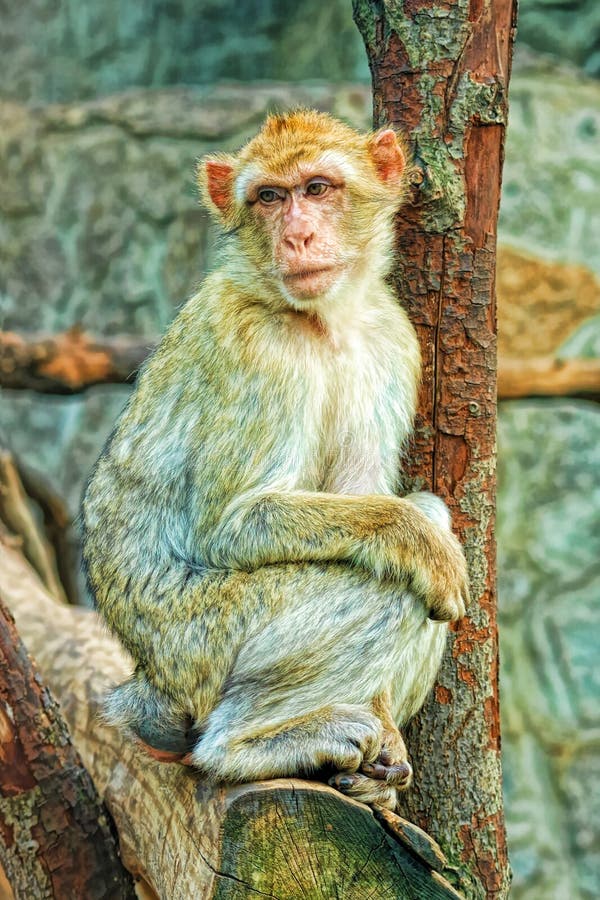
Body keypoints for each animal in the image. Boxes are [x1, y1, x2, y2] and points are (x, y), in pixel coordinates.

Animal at [82, 109, 469, 811]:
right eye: (268, 197)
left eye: (316, 188)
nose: (298, 235)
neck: (321, 321)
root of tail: (152, 678)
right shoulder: (260, 352)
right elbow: (230, 525)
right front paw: (413, 539)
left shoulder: (392, 341)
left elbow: (359, 493)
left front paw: (388, 740)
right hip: (205, 645)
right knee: (390, 577)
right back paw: (249, 746)